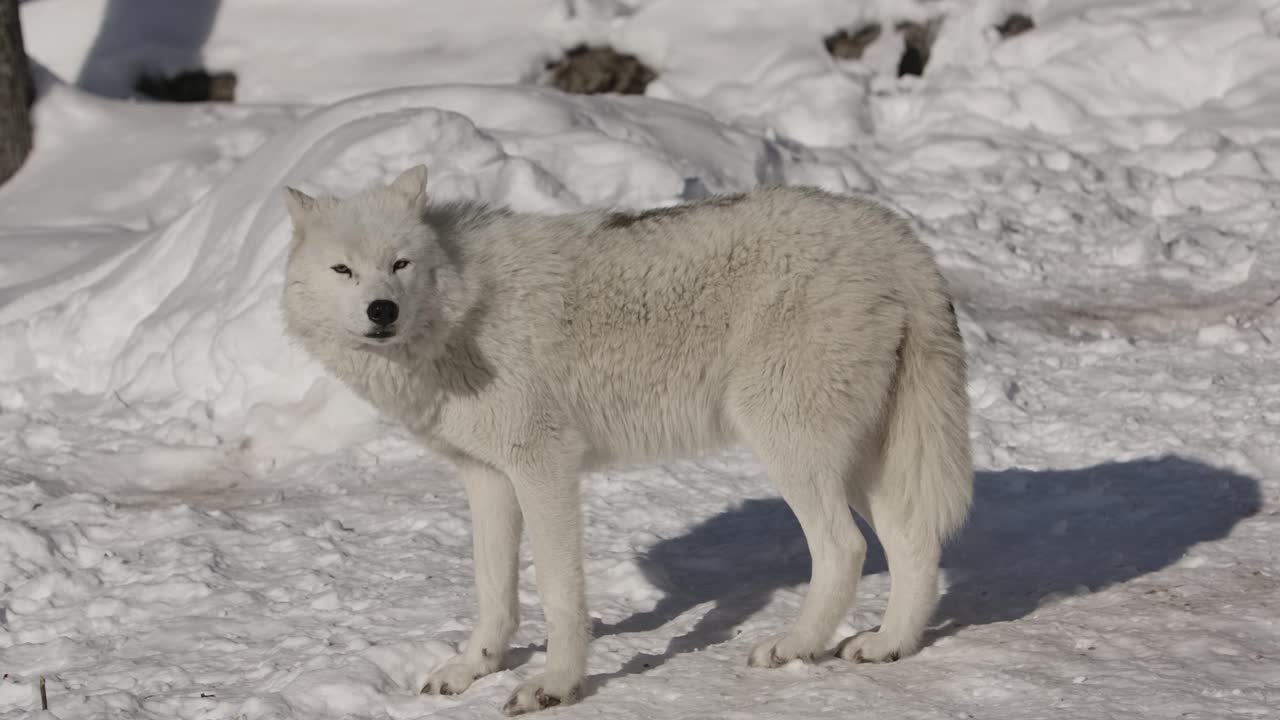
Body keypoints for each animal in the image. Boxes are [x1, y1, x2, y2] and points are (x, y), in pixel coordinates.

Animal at [280, 165, 973, 715]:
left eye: (399, 264)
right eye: (344, 270)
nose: (382, 311)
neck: (466, 312)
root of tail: (896, 236)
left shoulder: (545, 466)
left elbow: (558, 592)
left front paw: (555, 686)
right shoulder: (487, 478)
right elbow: (492, 590)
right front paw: (473, 669)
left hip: (791, 444)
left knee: (845, 548)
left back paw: (795, 646)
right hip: (859, 459)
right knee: (914, 541)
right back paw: (888, 644)